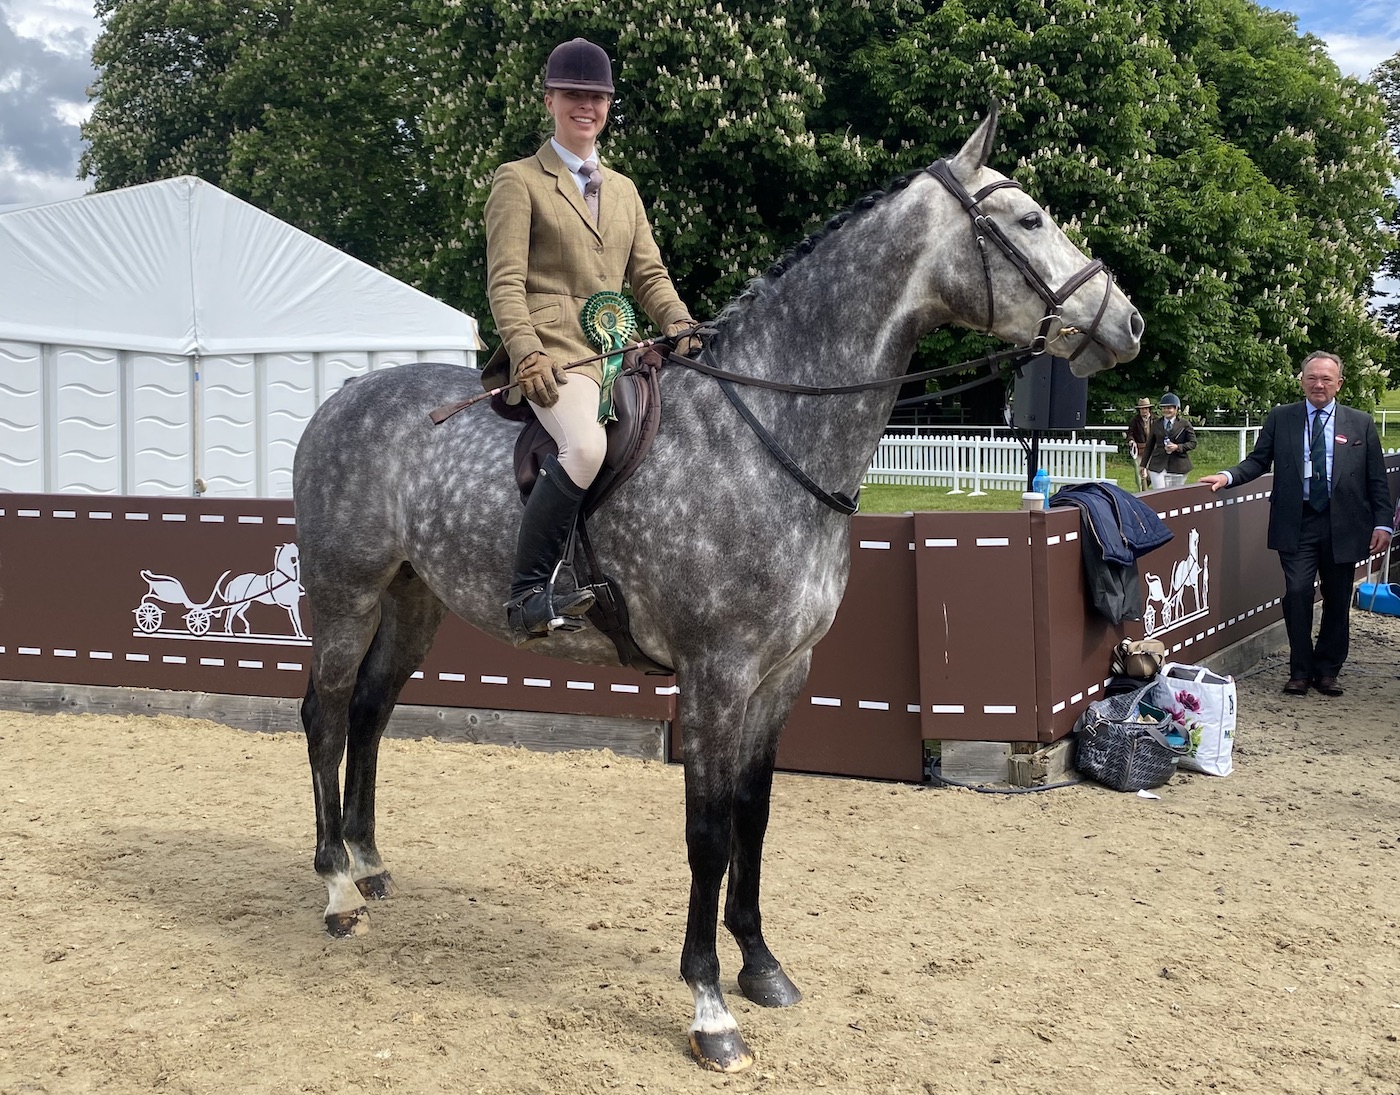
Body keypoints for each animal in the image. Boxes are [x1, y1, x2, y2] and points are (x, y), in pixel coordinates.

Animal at [290, 106, 1143, 1072]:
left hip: (413, 603)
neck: (770, 431)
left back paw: (368, 864)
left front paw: (761, 965)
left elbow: (753, 815)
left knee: (370, 712)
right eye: (1029, 220)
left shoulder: (782, 675)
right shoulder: (715, 676)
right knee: (324, 716)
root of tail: (343, 395)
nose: (1128, 323)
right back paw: (335, 888)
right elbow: (706, 833)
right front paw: (708, 1006)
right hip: (346, 598)